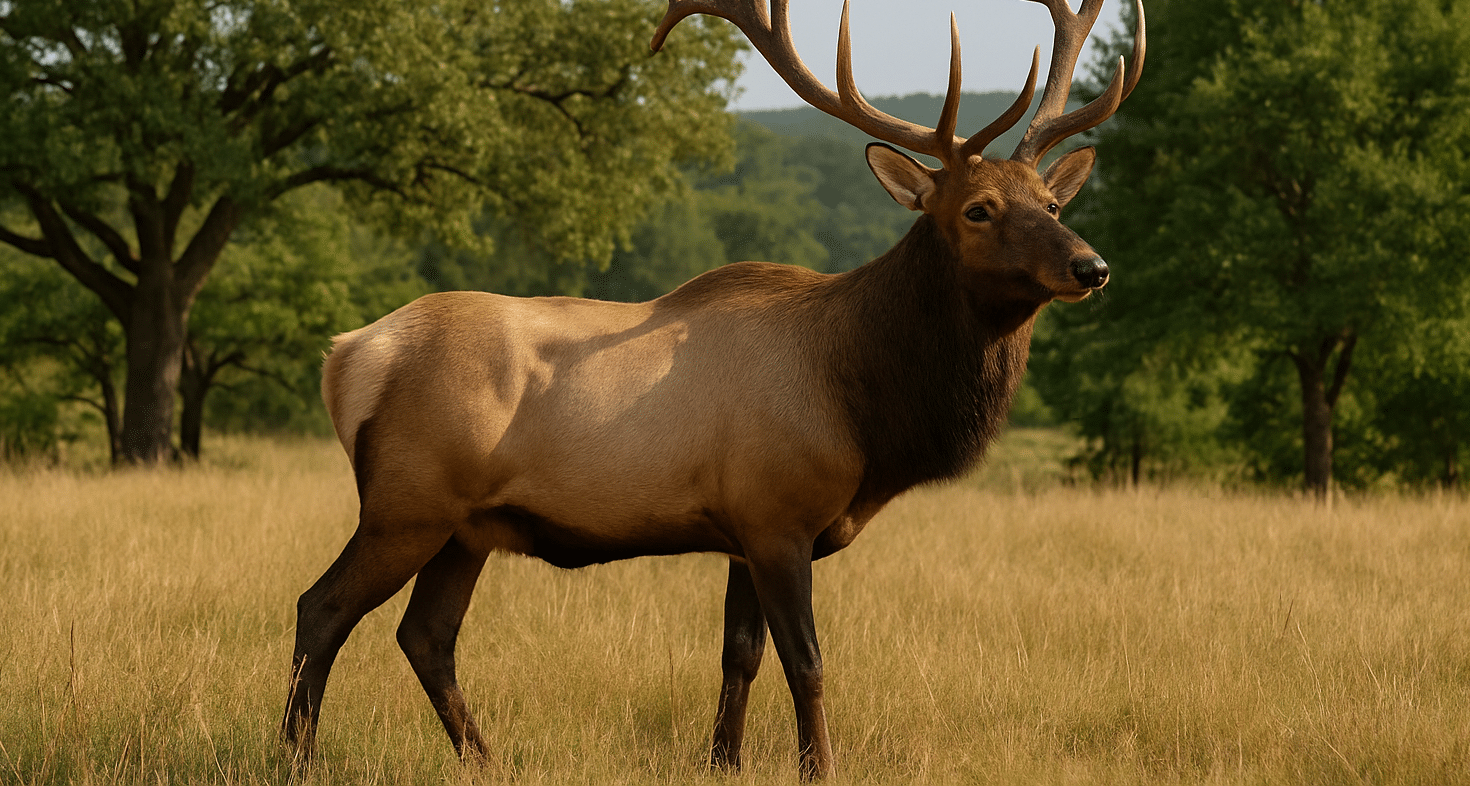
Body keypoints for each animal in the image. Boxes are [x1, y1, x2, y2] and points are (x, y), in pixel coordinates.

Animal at [281, 0, 1144, 779]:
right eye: (978, 209)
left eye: (1053, 203)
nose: (1092, 266)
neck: (866, 411)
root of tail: (347, 357)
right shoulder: (777, 517)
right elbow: (806, 660)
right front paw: (818, 766)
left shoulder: (742, 528)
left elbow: (739, 655)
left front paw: (723, 759)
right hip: (408, 502)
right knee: (321, 608)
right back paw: (297, 757)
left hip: (469, 526)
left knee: (426, 634)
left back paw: (488, 760)